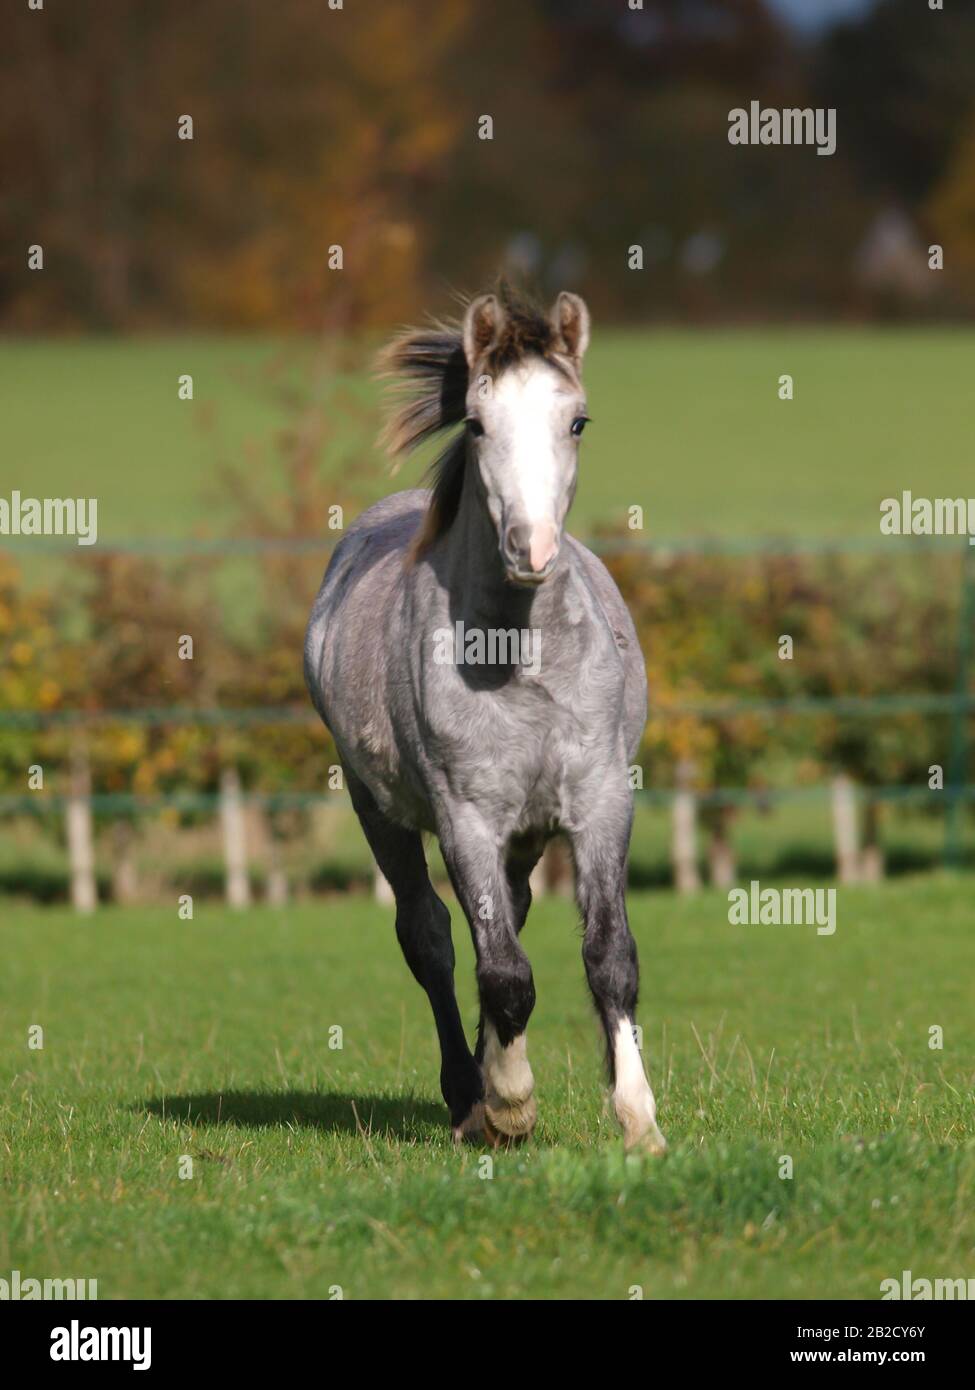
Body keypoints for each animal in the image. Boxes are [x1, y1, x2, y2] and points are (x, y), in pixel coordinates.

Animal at [304, 284, 666, 1154]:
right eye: (475, 422)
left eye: (577, 420)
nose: (529, 549)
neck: (519, 659)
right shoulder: (465, 817)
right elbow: (500, 969)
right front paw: (509, 1103)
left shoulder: (601, 802)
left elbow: (609, 955)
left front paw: (638, 1118)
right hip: (380, 813)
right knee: (432, 937)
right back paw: (469, 1096)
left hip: (527, 834)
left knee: (505, 922)